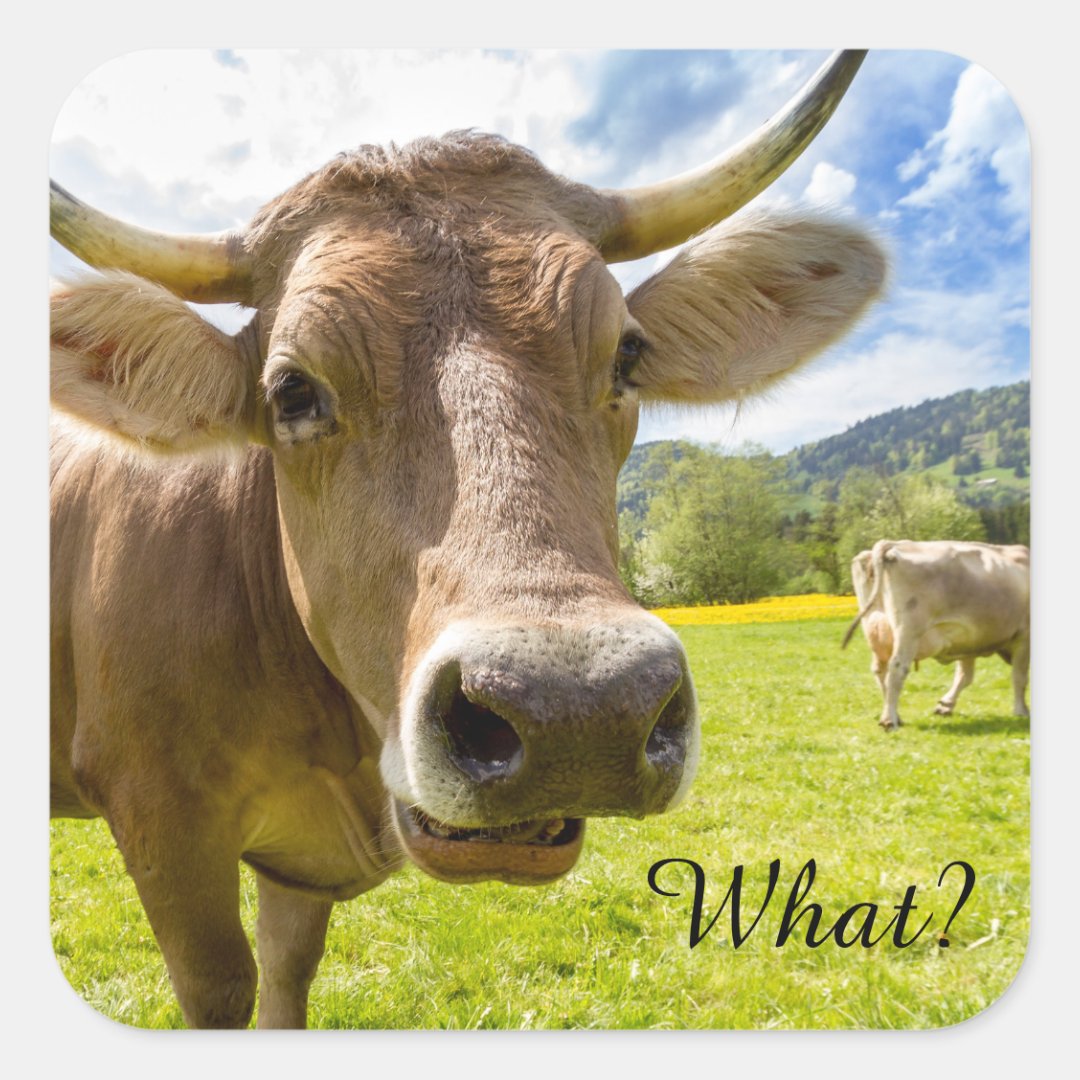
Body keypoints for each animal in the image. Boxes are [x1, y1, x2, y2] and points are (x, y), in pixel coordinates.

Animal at [50, 51, 886, 1028]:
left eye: (628, 355)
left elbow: (288, 975)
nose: (579, 712)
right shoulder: (164, 826)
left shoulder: (296, 875)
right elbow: (222, 988)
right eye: (292, 390)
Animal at [842, 539, 1030, 730]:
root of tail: (893, 544)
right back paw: (889, 720)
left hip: (876, 630)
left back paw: (894, 715)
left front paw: (945, 705)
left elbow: (964, 676)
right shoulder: (1024, 637)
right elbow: (1019, 677)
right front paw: (1021, 710)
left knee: (881, 671)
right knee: (897, 668)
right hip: (908, 632)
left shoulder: (969, 639)